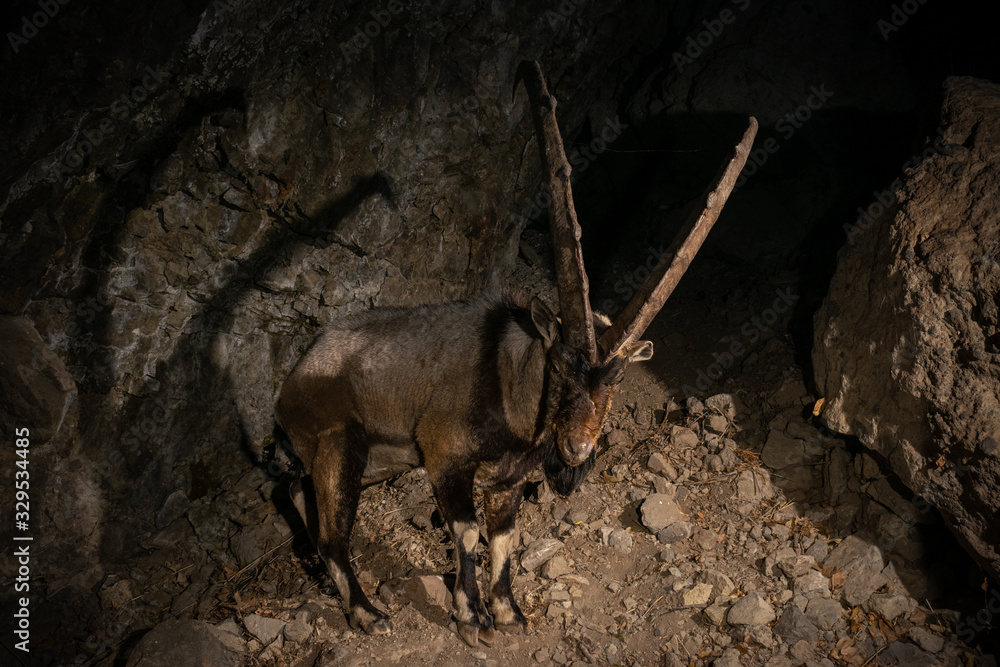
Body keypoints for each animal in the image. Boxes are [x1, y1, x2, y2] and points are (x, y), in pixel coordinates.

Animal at [275, 60, 757, 646]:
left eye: (617, 378)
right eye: (563, 364)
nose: (575, 449)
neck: (512, 389)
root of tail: (293, 380)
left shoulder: (509, 480)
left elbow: (503, 537)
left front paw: (508, 613)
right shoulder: (444, 456)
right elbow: (465, 533)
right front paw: (470, 618)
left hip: (370, 461)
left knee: (298, 493)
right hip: (340, 445)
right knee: (331, 533)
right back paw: (367, 613)